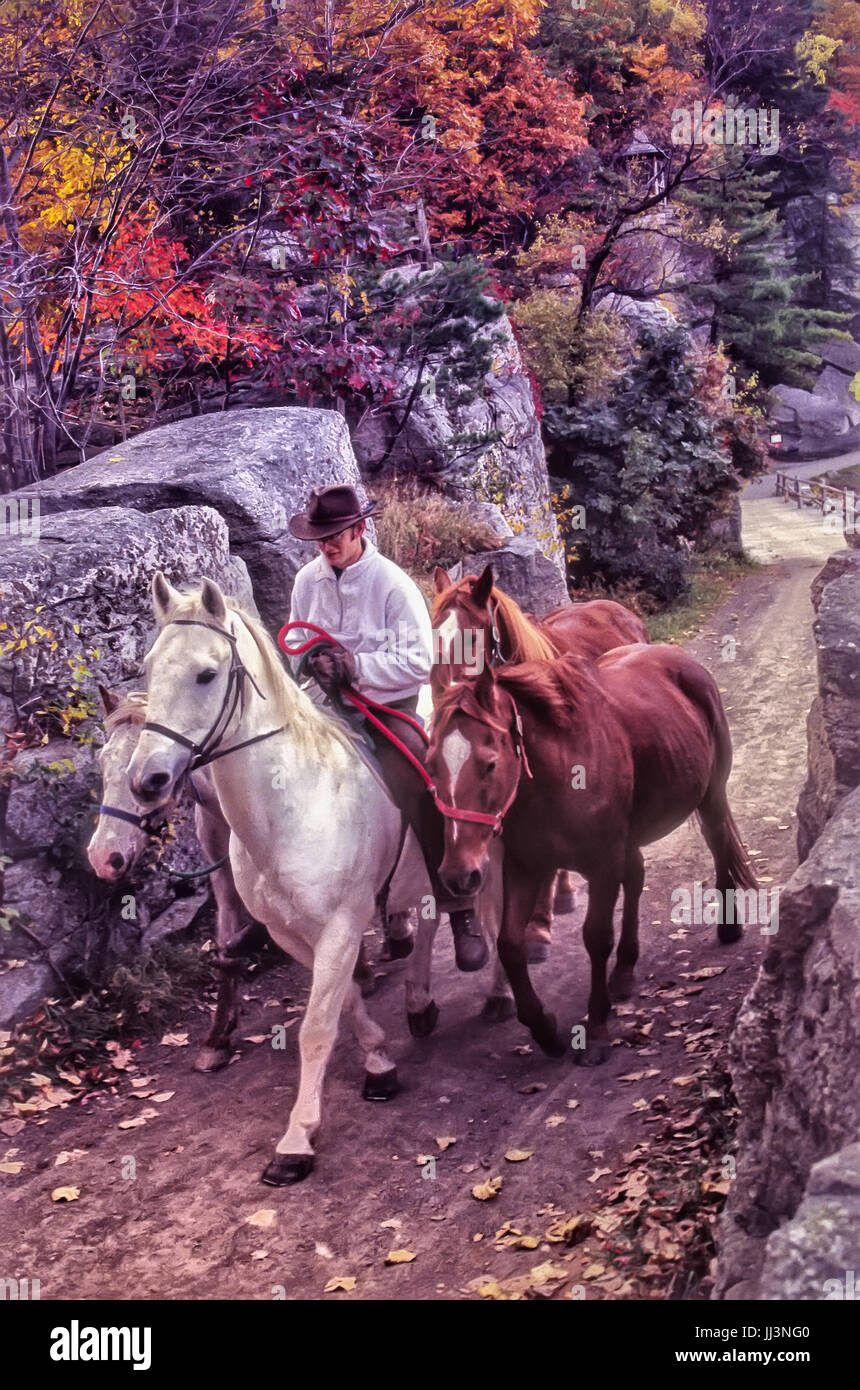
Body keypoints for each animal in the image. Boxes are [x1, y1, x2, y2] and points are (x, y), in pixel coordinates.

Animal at [124, 572, 484, 1185]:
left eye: (206, 673)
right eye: (149, 667)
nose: (147, 780)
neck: (291, 806)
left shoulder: (339, 926)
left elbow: (315, 1028)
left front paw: (296, 1140)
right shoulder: (294, 934)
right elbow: (342, 1004)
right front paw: (379, 1062)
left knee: (453, 907)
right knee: (424, 919)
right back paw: (418, 1001)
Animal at [426, 645, 756, 1064]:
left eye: (489, 764)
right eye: (432, 765)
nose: (458, 874)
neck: (558, 775)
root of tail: (677, 658)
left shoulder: (602, 864)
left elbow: (596, 937)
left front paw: (596, 1027)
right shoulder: (525, 867)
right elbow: (510, 945)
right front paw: (544, 1028)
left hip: (710, 796)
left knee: (716, 844)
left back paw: (727, 927)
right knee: (637, 876)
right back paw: (625, 969)